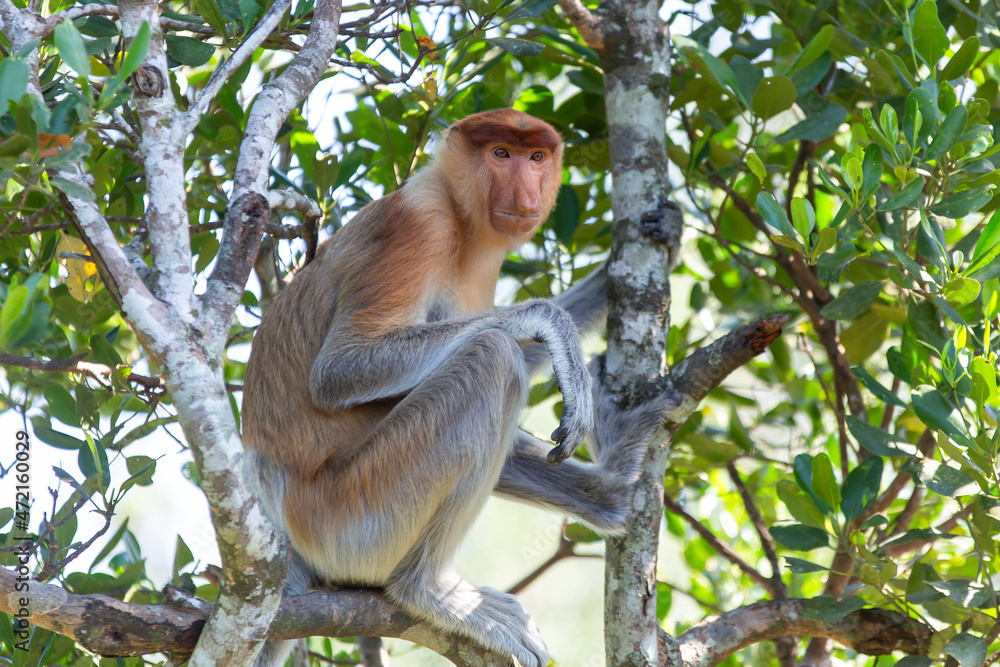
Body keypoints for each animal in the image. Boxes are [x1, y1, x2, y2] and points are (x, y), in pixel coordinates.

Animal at [242, 108, 679, 667]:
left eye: (537, 157)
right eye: (501, 154)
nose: (526, 192)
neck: (460, 217)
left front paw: (665, 235)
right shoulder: (418, 225)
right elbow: (339, 369)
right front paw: (552, 322)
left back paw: (614, 488)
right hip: (349, 517)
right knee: (492, 357)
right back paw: (429, 592)